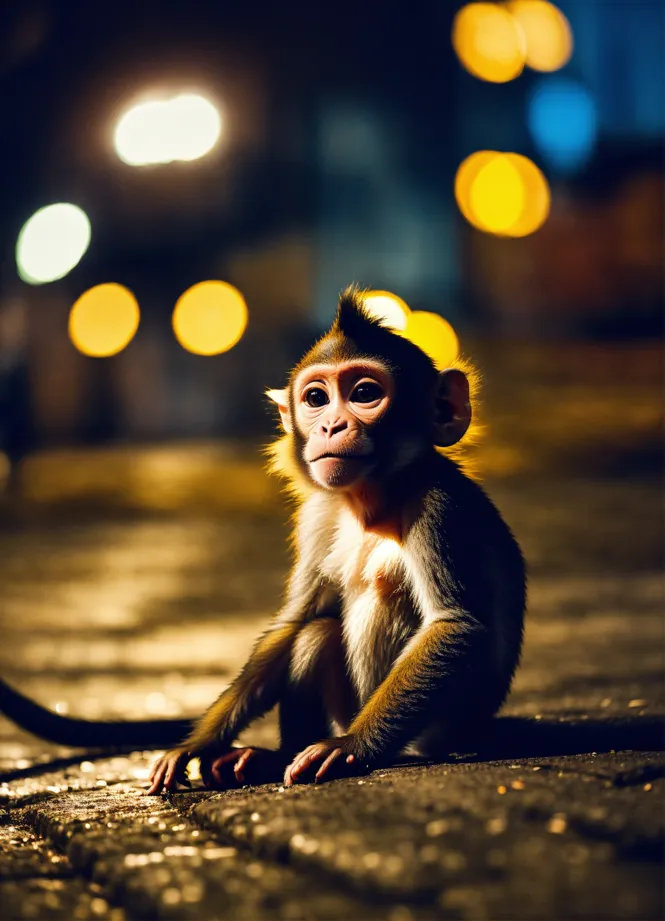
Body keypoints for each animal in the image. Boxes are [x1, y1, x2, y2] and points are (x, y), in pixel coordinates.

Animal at [1, 286, 662, 790]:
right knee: (317, 631)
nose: (331, 425)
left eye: (364, 393)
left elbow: (455, 626)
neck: (372, 500)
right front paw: (199, 742)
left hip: (439, 729)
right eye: (316, 397)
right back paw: (265, 757)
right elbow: (295, 620)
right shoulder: (319, 512)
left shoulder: (439, 507)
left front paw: (352, 749)